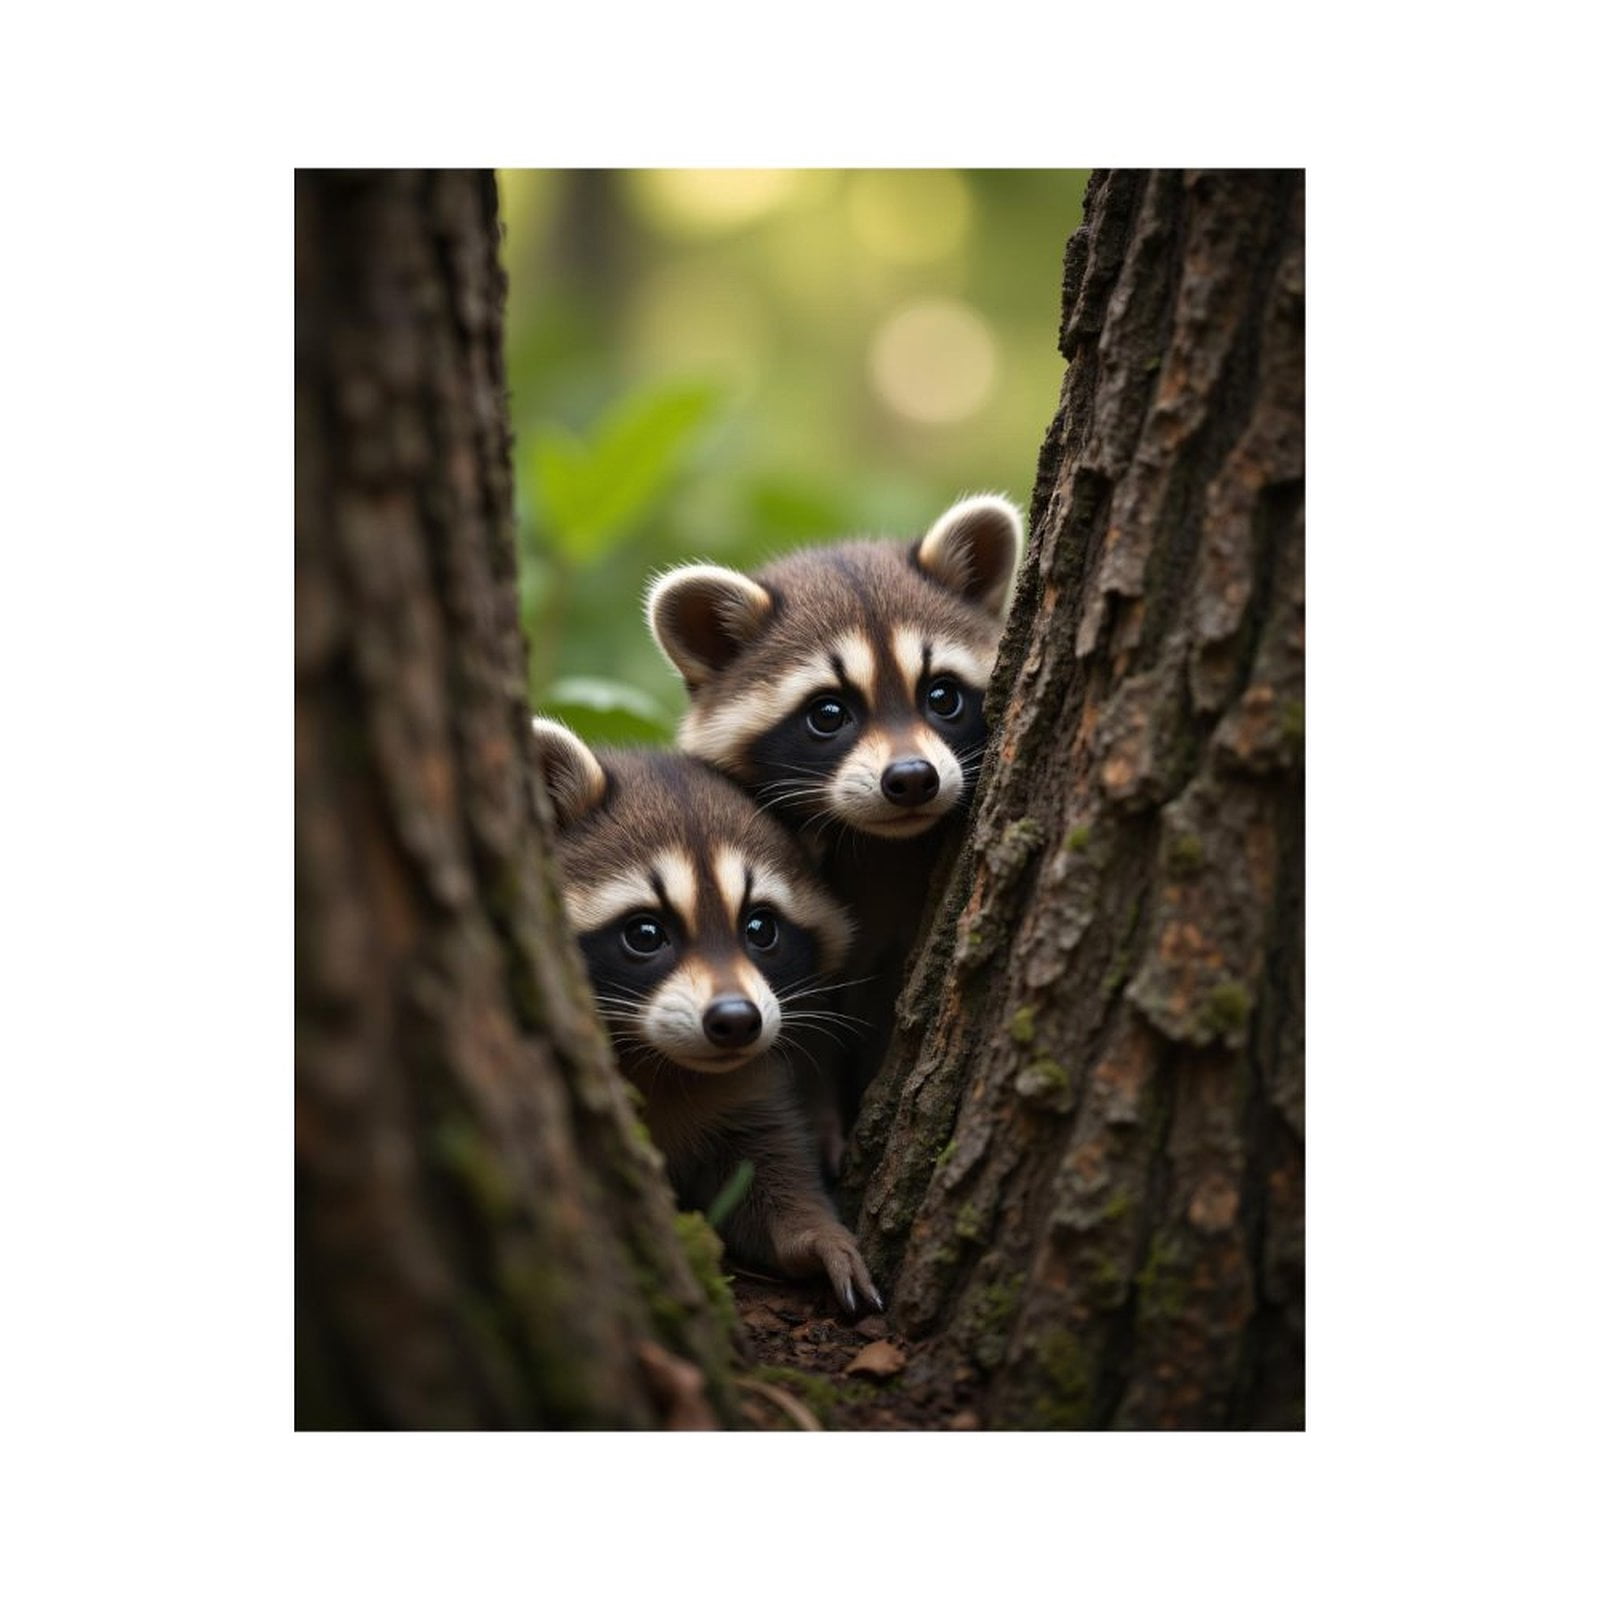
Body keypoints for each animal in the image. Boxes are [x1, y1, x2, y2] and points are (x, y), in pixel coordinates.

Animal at [532, 718, 881, 1314]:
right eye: (645, 933)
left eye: (760, 928)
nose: (737, 1020)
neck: (656, 1056)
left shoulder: (751, 1084)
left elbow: (768, 1165)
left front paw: (812, 1234)